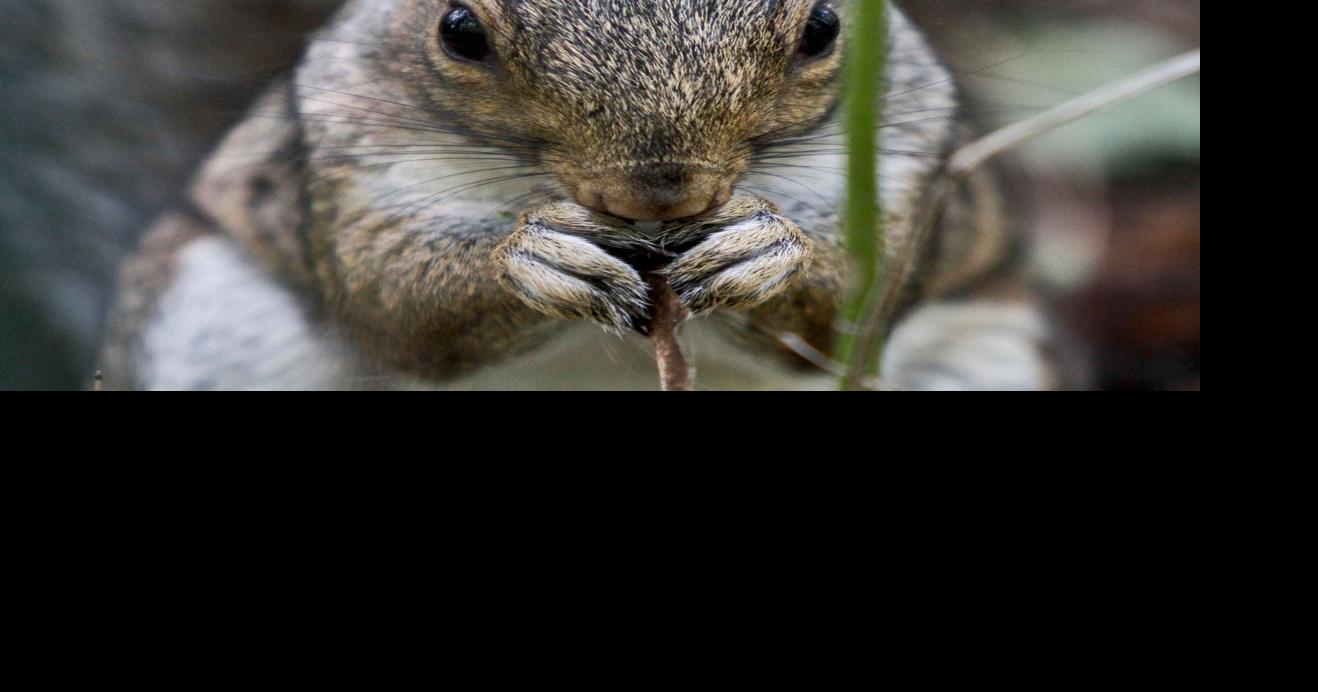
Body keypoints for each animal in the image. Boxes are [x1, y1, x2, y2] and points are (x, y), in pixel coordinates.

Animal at [101, 0, 1055, 390]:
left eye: (824, 27)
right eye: (459, 30)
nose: (661, 190)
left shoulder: (903, 168)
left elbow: (852, 313)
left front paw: (768, 251)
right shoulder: (345, 170)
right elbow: (395, 306)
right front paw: (530, 257)